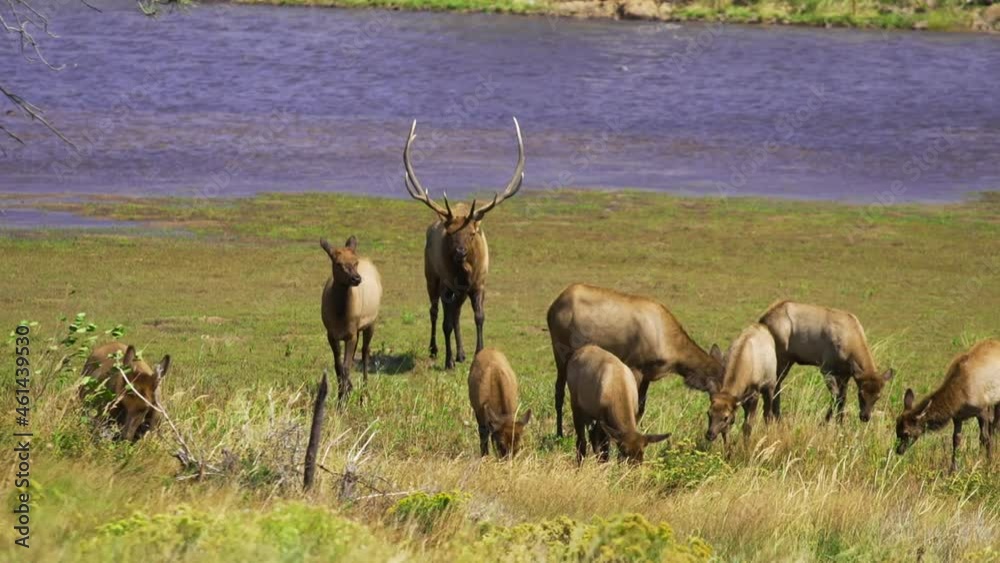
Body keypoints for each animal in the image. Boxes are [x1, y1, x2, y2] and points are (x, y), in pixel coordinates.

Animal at [320, 235, 382, 408]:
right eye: (338, 263)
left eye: (355, 262)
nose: (356, 278)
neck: (341, 315)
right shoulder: (331, 334)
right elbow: (338, 366)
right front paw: (344, 392)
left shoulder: (351, 334)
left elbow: (346, 366)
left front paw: (342, 402)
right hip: (357, 330)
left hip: (371, 323)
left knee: (365, 352)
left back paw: (365, 394)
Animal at [403, 118, 525, 369]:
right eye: (450, 233)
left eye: (471, 233)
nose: (459, 251)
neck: (466, 272)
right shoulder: (448, 285)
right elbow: (446, 322)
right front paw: (448, 360)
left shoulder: (479, 283)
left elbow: (479, 317)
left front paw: (476, 352)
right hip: (431, 275)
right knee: (435, 311)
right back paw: (435, 349)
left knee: (456, 314)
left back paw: (460, 353)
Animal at [548, 283, 723, 438]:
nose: (712, 434)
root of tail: (552, 308)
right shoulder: (635, 367)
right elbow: (634, 408)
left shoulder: (648, 374)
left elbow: (641, 407)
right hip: (561, 353)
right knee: (559, 391)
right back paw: (559, 434)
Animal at [758, 300, 894, 423]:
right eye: (861, 394)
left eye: (878, 396)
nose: (865, 417)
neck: (850, 341)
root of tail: (763, 319)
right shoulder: (826, 369)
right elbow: (836, 396)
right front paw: (825, 422)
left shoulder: (845, 374)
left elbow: (843, 397)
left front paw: (840, 422)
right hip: (782, 357)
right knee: (775, 383)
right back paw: (774, 417)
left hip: (789, 360)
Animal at [896, 338, 999, 473]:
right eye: (896, 430)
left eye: (906, 433)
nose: (898, 450)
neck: (958, 399)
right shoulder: (957, 417)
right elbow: (956, 440)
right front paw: (953, 470)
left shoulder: (982, 410)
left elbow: (985, 438)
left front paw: (988, 464)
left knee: (994, 426)